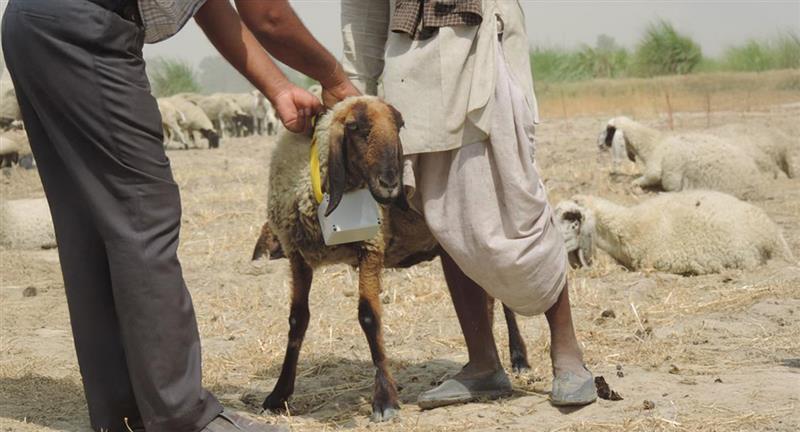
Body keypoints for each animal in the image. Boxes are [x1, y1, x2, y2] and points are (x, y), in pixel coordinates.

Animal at [598, 117, 770, 199]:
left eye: (609, 130)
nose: (599, 145)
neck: (654, 144)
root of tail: (760, 187)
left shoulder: (666, 174)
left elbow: (657, 182)